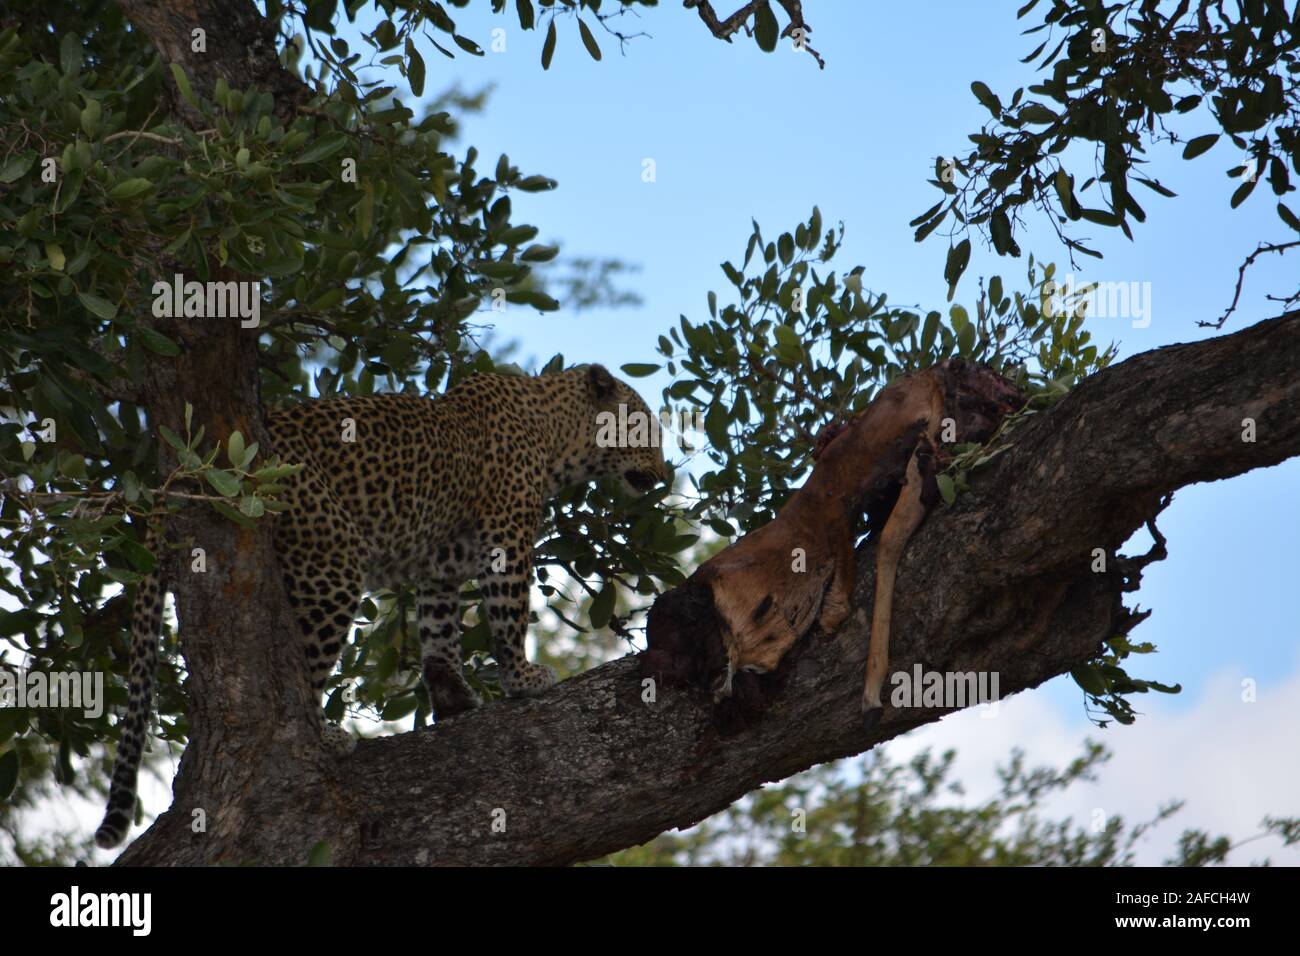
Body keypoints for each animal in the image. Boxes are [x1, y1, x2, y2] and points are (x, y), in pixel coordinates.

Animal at [94, 363, 668, 849]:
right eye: (646, 430)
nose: (663, 473)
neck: (555, 435)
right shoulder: (506, 534)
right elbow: (507, 613)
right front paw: (524, 679)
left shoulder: (442, 561)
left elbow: (440, 633)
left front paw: (454, 700)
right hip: (328, 560)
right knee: (303, 663)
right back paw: (326, 737)